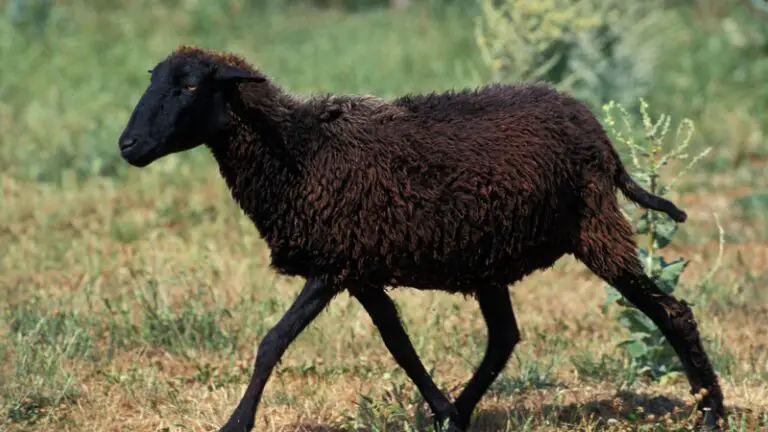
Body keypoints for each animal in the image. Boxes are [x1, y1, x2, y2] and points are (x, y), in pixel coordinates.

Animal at [117, 45, 725, 432]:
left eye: (190, 86)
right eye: (150, 81)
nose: (127, 146)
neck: (299, 148)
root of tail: (599, 135)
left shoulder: (332, 263)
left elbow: (273, 341)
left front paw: (235, 424)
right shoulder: (358, 267)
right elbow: (399, 344)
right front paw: (440, 413)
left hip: (595, 228)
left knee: (672, 312)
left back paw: (712, 412)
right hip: (489, 255)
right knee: (504, 337)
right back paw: (461, 413)